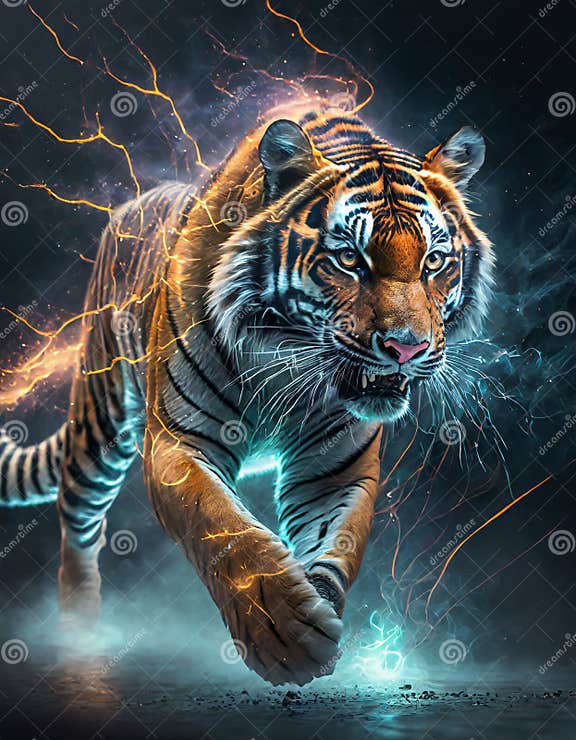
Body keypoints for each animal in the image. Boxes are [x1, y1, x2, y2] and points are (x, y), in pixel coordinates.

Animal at [0, 107, 492, 686]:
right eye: (349, 259)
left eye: (435, 262)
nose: (405, 347)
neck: (286, 356)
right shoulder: (179, 444)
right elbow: (222, 528)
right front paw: (281, 630)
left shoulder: (335, 470)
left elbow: (336, 541)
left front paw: (319, 603)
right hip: (100, 425)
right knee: (77, 530)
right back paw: (79, 637)